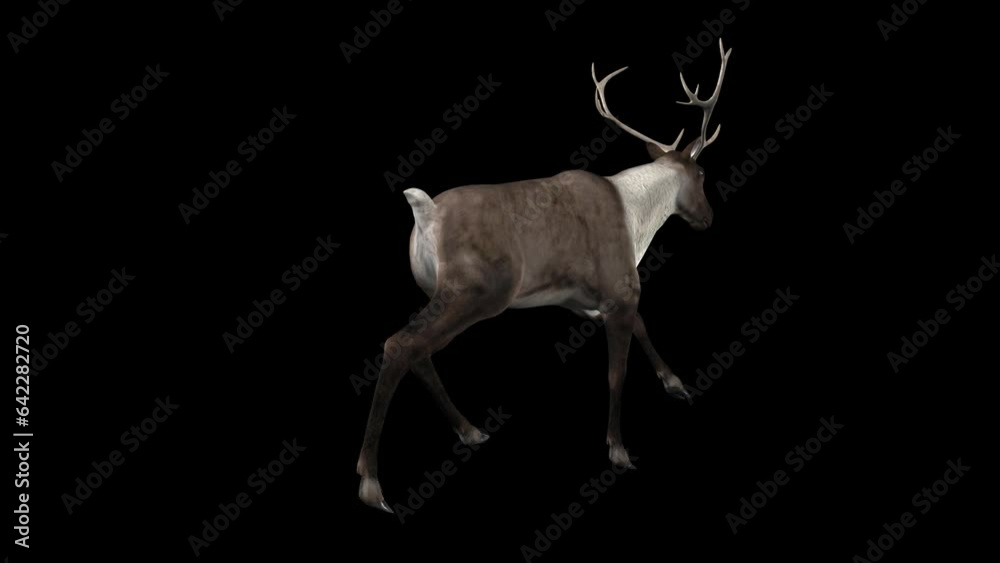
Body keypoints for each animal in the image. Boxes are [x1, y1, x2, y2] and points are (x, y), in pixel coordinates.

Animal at [358, 40, 732, 512]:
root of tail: (424, 212)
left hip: (435, 289)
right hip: (475, 292)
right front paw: (618, 450)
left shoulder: (585, 300)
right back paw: (372, 483)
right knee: (402, 344)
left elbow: (643, 328)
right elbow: (617, 371)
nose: (708, 218)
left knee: (419, 350)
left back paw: (470, 430)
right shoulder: (621, 287)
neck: (638, 221)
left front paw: (677, 384)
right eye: (702, 174)